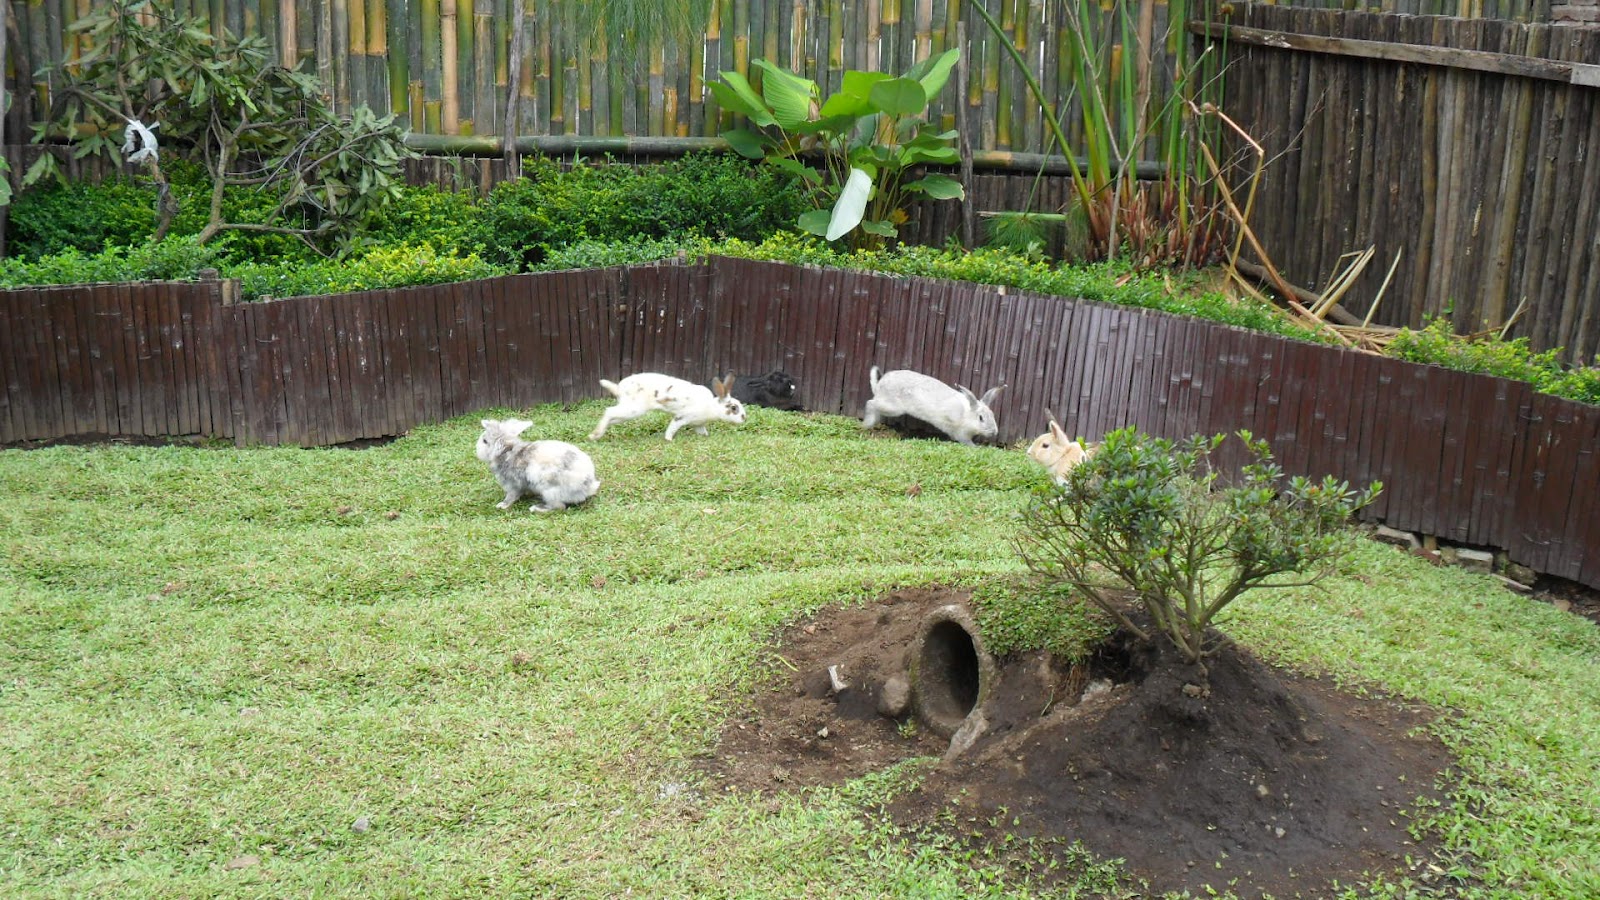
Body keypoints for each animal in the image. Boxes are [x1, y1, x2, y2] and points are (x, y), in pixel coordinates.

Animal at [590, 372, 747, 441]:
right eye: (734, 408)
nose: (744, 418)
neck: (711, 407)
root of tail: (620, 388)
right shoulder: (681, 417)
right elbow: (672, 428)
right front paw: (669, 440)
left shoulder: (698, 424)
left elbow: (703, 432)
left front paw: (706, 437)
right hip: (633, 409)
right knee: (609, 411)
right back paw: (594, 435)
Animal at [861, 366, 1006, 446]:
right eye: (981, 418)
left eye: (992, 415)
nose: (994, 432)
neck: (966, 414)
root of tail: (879, 385)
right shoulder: (960, 432)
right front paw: (975, 447)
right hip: (893, 407)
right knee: (870, 403)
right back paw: (866, 424)